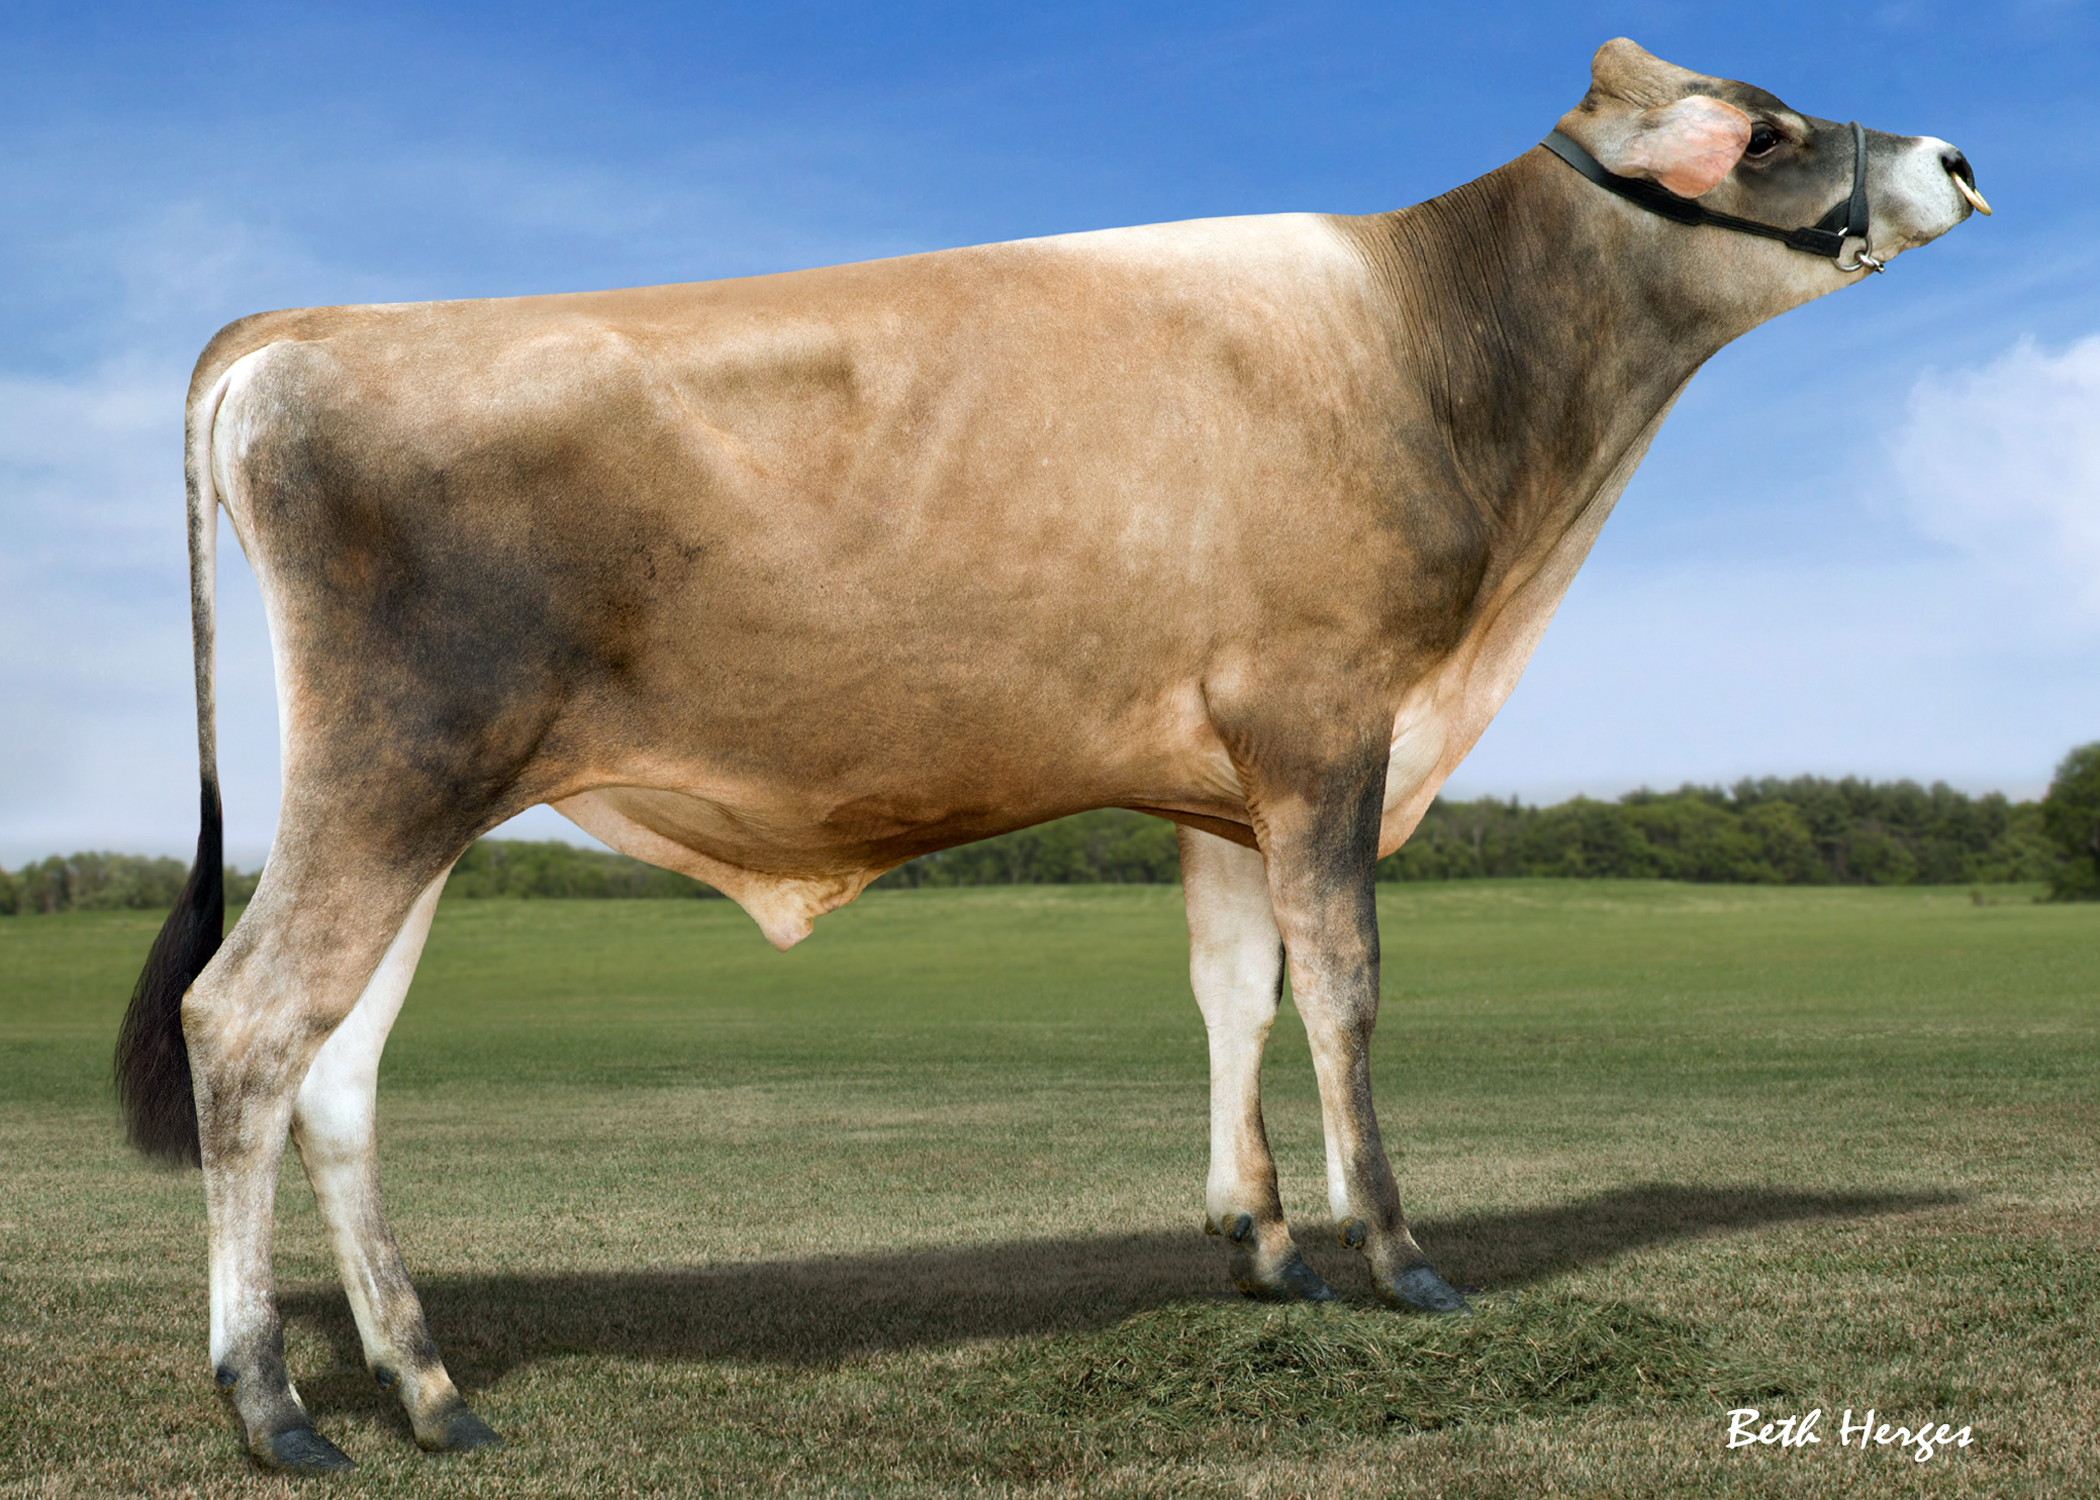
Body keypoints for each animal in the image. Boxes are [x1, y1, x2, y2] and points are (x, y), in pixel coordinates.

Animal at [115, 38, 1983, 1473]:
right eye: (1765, 131)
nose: (1958, 155)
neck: (1438, 352)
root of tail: (316, 325)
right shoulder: (1327, 721)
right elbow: (1345, 988)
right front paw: (1397, 1258)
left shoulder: (1220, 775)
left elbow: (1236, 990)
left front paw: (1262, 1247)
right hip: (393, 773)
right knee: (245, 1024)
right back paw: (273, 1405)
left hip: (414, 799)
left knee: (339, 1068)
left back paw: (430, 1389)